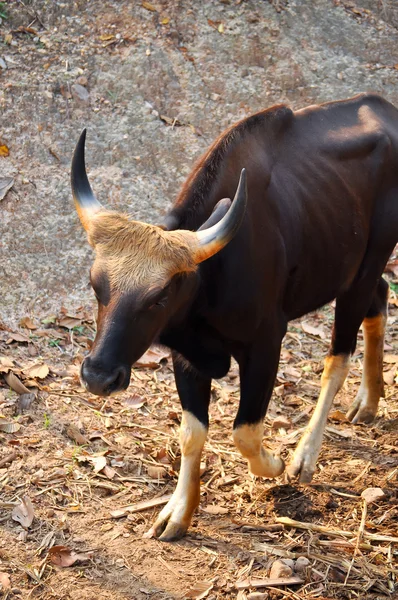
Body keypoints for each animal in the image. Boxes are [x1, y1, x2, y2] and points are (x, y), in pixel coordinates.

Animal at [71, 95, 398, 544]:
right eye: (96, 285)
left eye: (159, 297)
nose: (98, 376)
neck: (212, 279)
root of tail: (383, 107)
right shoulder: (186, 356)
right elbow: (191, 433)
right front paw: (179, 512)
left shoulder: (266, 345)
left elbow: (245, 432)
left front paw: (275, 464)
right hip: (355, 272)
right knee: (381, 296)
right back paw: (368, 401)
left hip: (363, 269)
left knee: (338, 358)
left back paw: (305, 456)